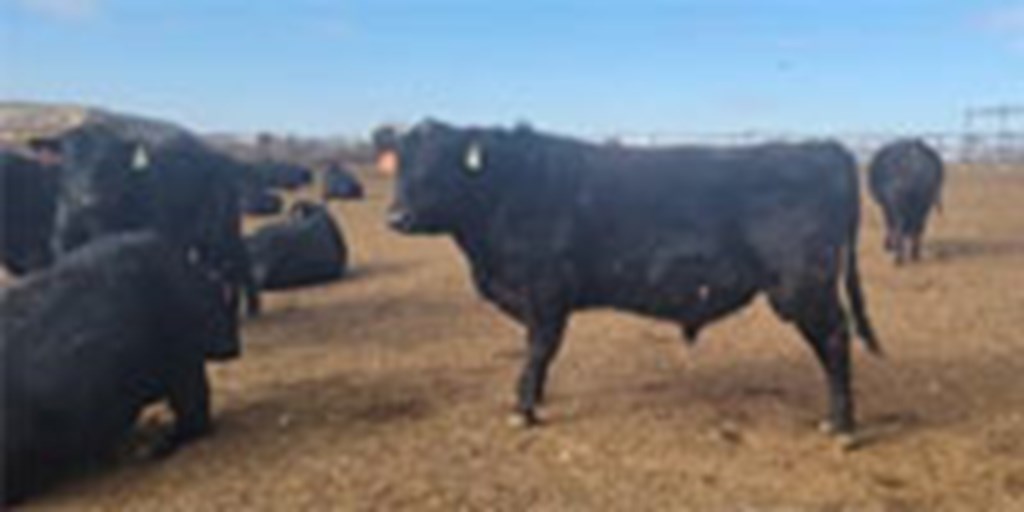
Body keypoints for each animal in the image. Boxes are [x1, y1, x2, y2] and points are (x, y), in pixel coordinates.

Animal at [50, 122, 261, 316]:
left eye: (113, 161)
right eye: (69, 159)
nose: (90, 199)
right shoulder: (64, 246)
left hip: (223, 230)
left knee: (239, 261)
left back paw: (250, 308)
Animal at [383, 120, 881, 437]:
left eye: (439, 163)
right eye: (401, 164)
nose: (395, 217)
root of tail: (822, 147)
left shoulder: (545, 292)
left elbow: (538, 350)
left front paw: (523, 410)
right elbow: (537, 355)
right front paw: (535, 398)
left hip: (803, 286)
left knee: (835, 338)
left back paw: (841, 424)